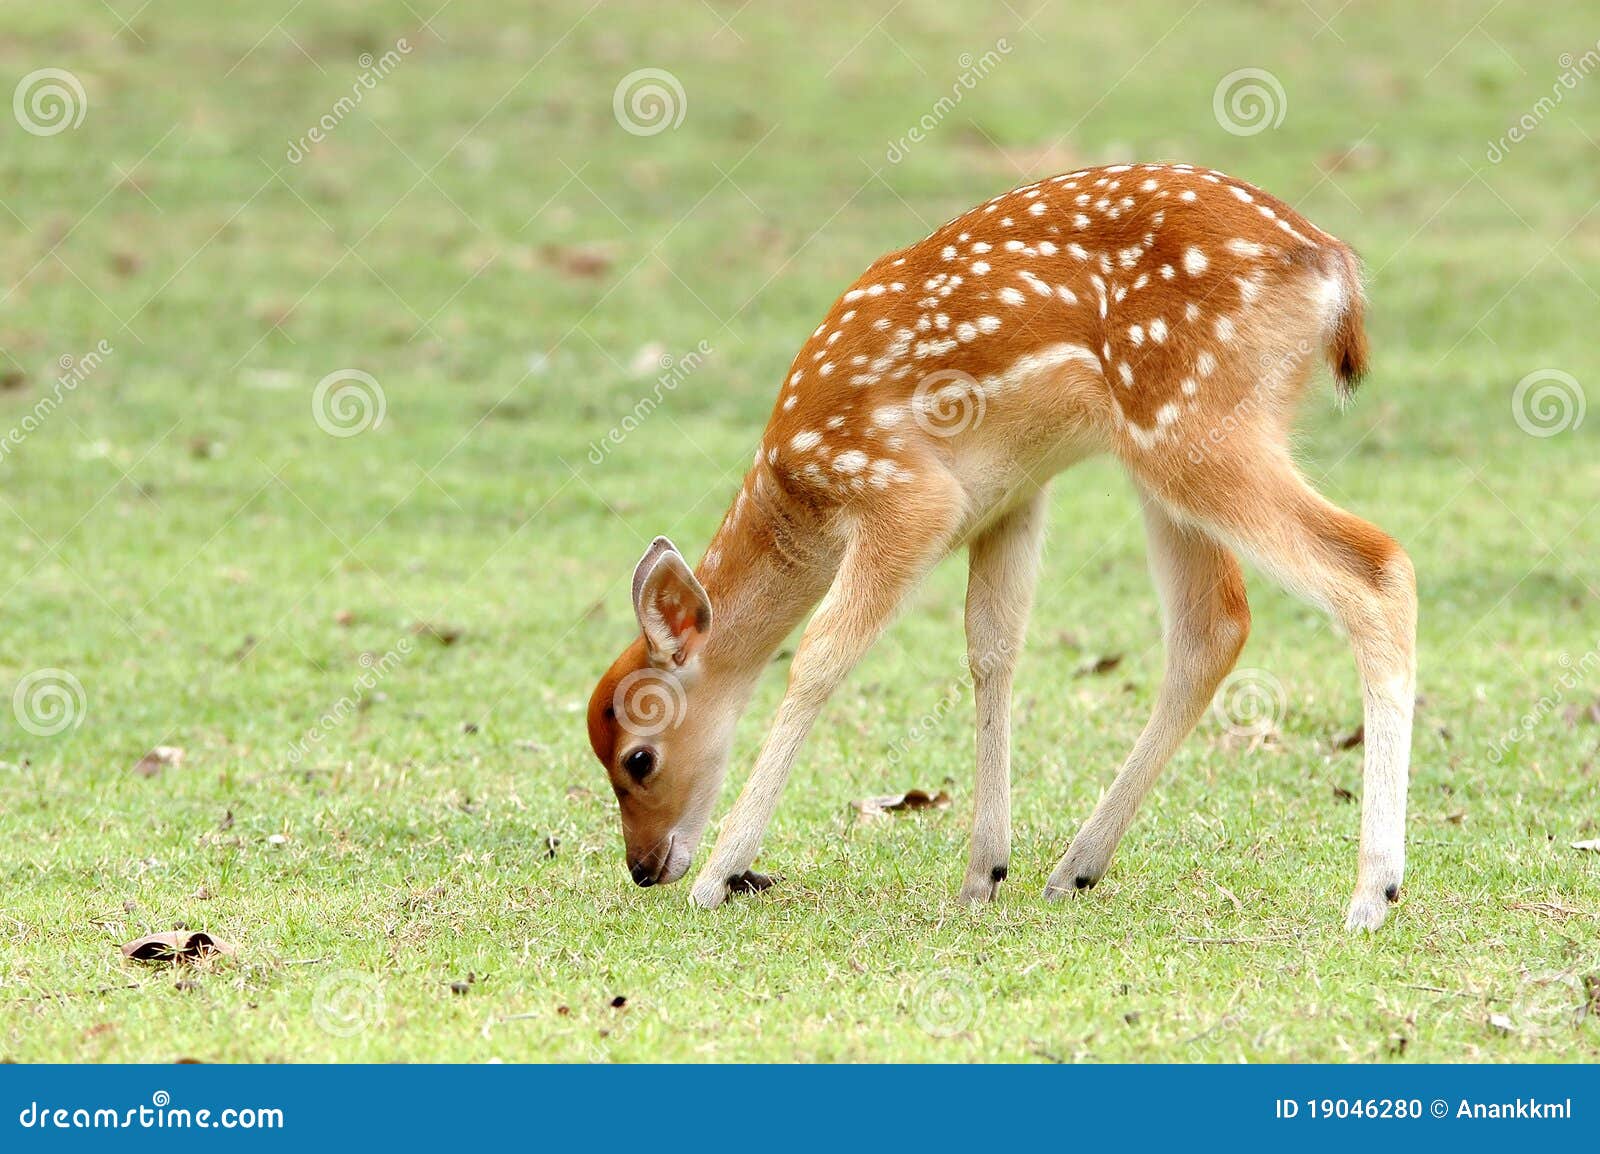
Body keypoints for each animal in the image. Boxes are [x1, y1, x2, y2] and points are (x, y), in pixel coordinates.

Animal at [586, 162, 1416, 931]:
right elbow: (992, 647)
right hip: (1168, 448)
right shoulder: (1011, 498)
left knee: (1375, 568)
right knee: (1213, 625)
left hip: (1190, 418)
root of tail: (1335, 270)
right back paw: (1077, 866)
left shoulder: (904, 493)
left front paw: (721, 874)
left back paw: (1371, 894)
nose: (643, 867)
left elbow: (821, 654)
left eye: (638, 757)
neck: (799, 490)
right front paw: (983, 871)